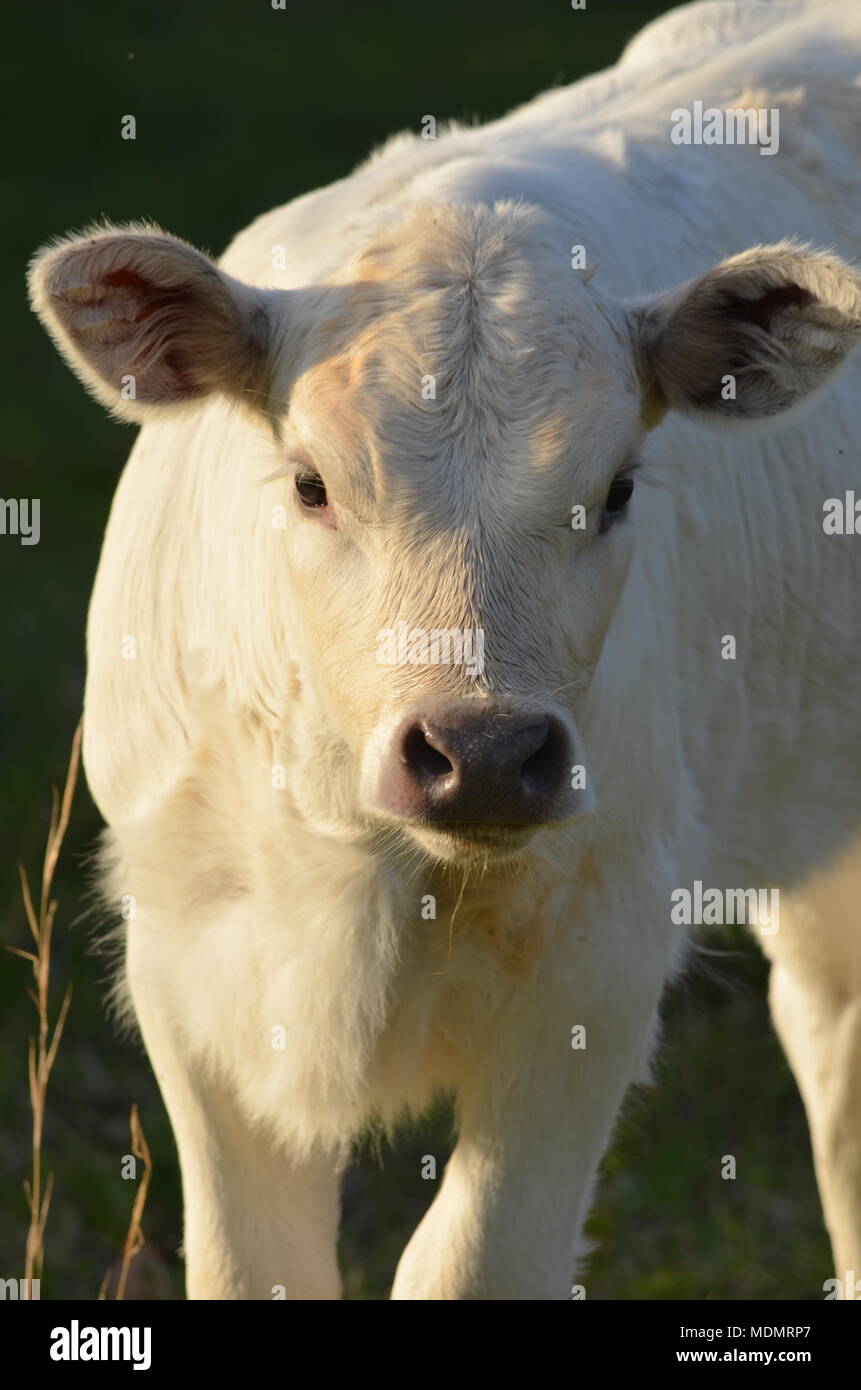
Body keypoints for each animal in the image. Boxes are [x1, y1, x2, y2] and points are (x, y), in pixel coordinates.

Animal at [28, 0, 861, 1299]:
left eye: (617, 488)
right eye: (310, 483)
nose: (483, 753)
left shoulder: (599, 955)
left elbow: (468, 1264)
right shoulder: (191, 961)